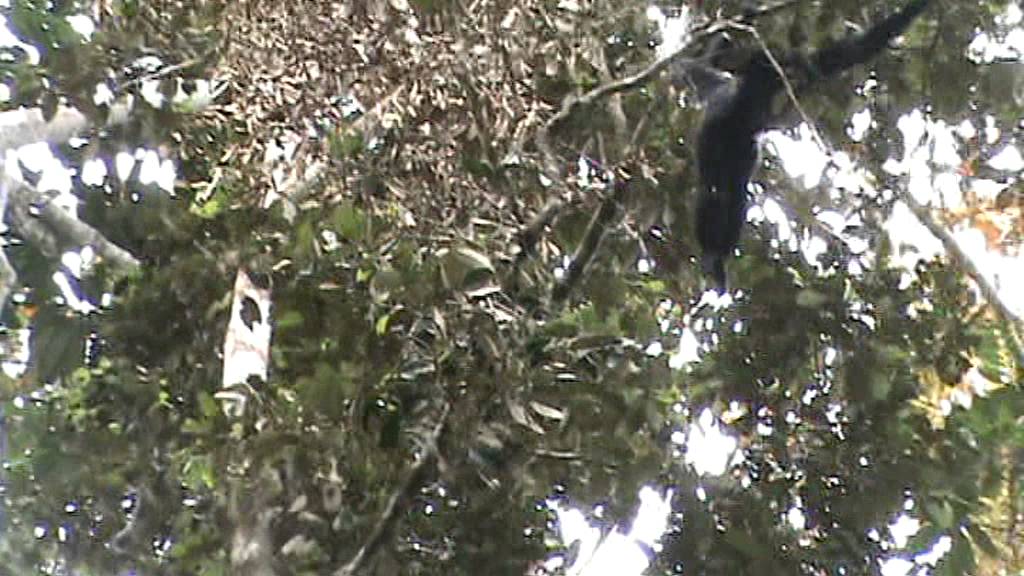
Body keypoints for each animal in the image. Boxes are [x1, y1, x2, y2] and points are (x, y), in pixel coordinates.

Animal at [695, 0, 932, 292]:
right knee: (713, 189)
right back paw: (711, 255)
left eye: (771, 71)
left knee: (733, 192)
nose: (783, 65)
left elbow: (852, 52)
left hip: (740, 152)